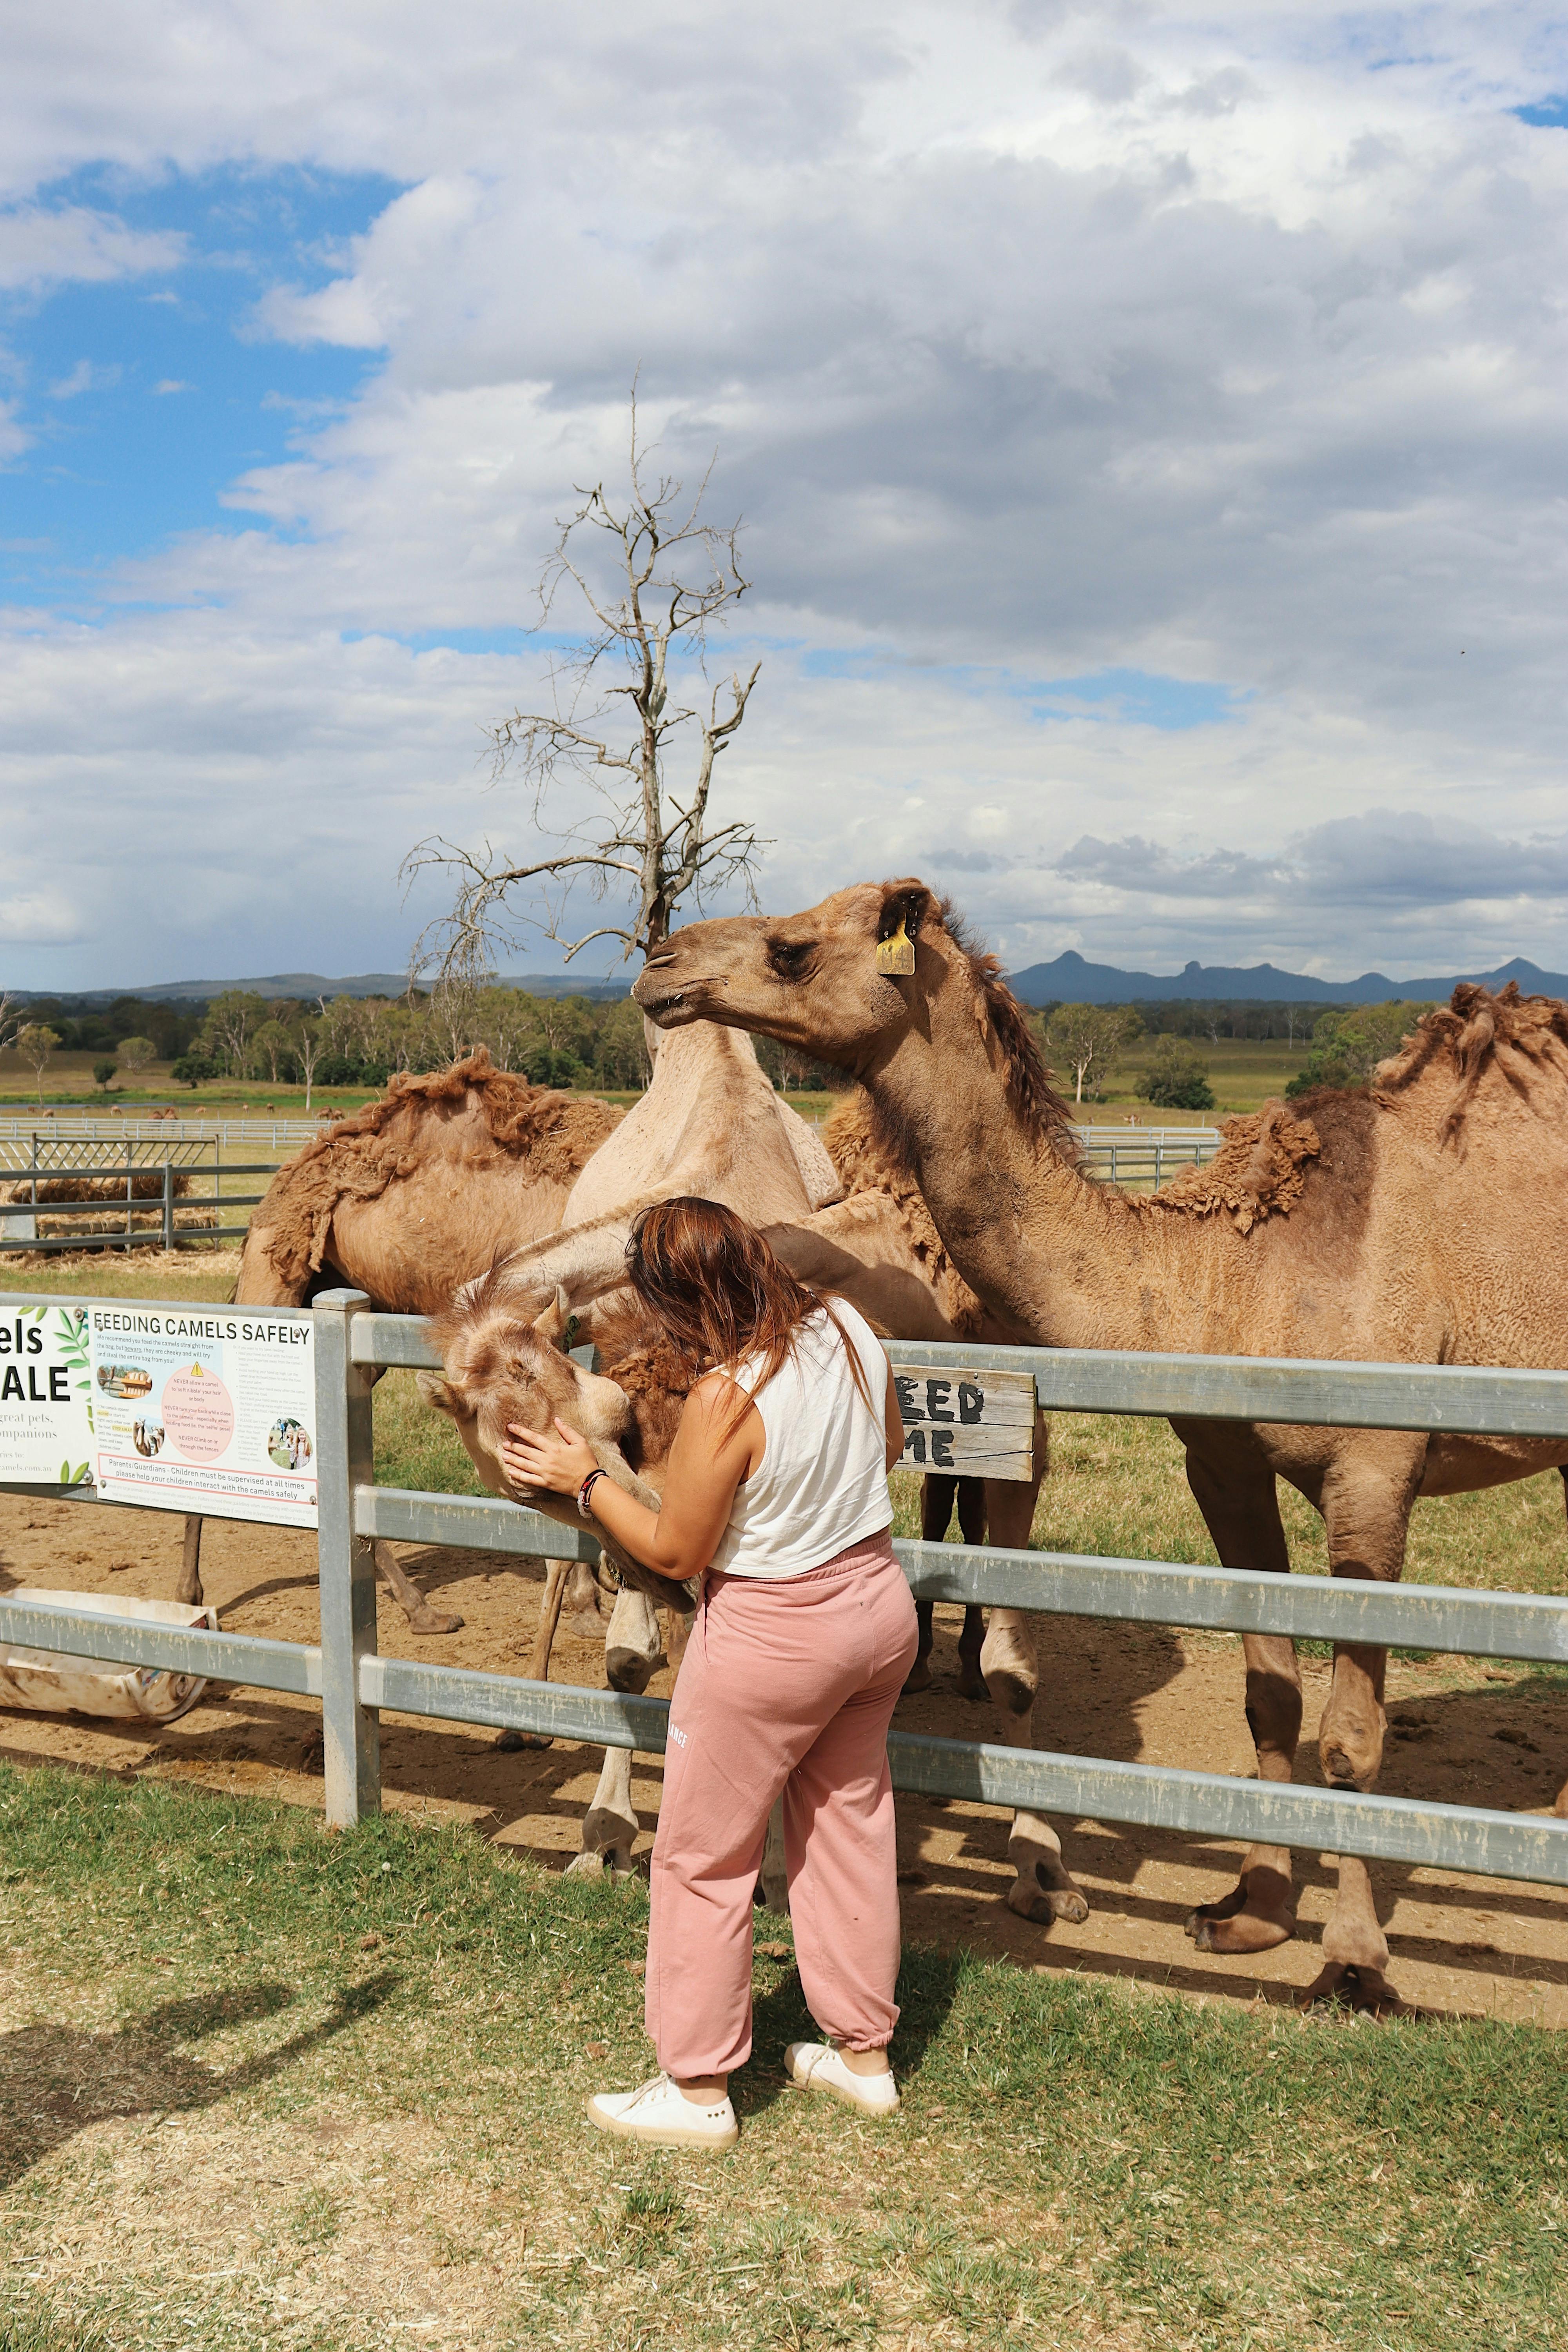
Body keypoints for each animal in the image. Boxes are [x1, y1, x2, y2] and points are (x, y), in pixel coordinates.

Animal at [631, 877, 1568, 2006]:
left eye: (792, 948)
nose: (660, 967)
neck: (1227, 1273)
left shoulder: (1374, 1469)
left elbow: (1351, 1739)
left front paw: (1353, 1964)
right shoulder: (1221, 1460)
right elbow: (1268, 1697)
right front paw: (1250, 1912)